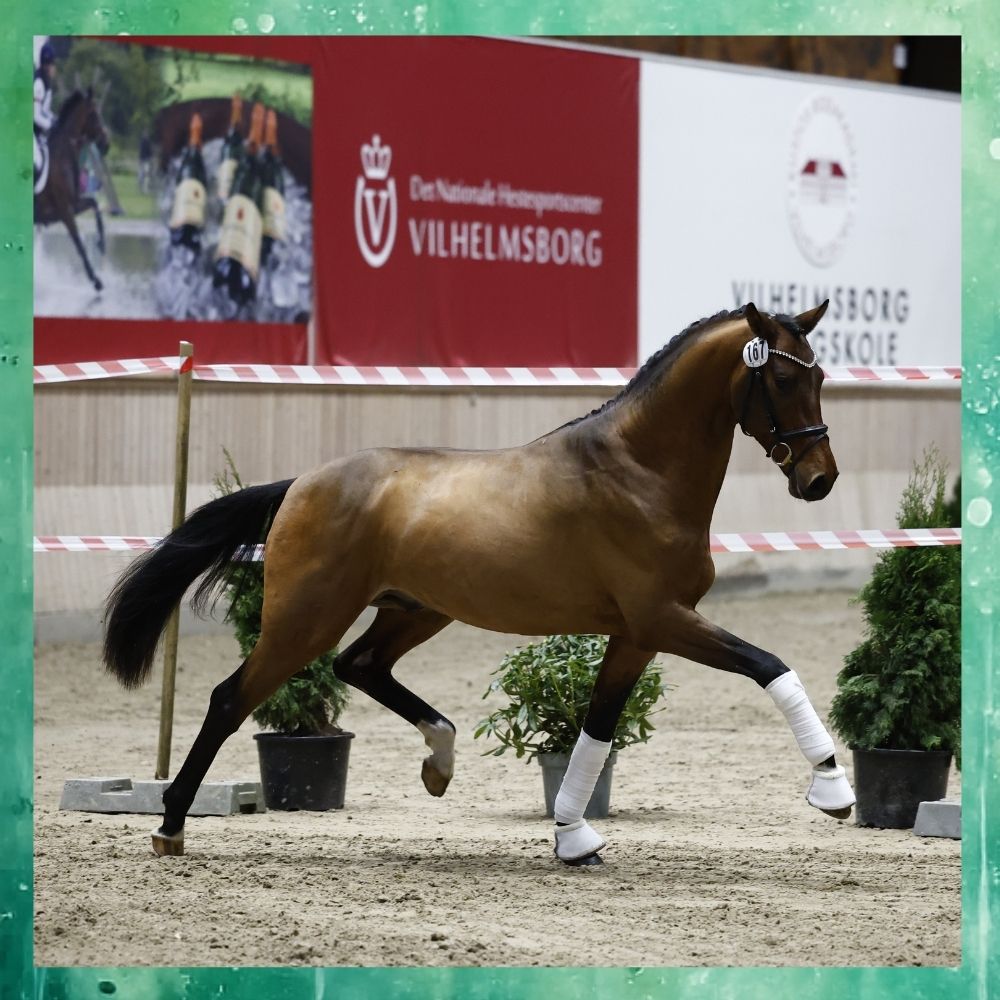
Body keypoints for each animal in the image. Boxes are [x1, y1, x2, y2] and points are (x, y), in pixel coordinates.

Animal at [34, 88, 110, 293]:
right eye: (94, 114)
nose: (106, 144)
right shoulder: (65, 212)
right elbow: (79, 244)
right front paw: (96, 280)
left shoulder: (72, 205)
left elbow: (95, 204)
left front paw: (101, 244)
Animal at [103, 300, 857, 864]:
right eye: (782, 381)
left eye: (819, 377)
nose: (819, 480)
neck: (641, 470)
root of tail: (303, 483)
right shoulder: (664, 618)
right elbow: (771, 666)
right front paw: (831, 786)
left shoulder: (636, 635)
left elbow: (597, 728)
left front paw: (572, 837)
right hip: (305, 618)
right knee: (231, 699)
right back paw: (170, 826)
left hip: (415, 610)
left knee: (359, 665)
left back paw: (439, 760)